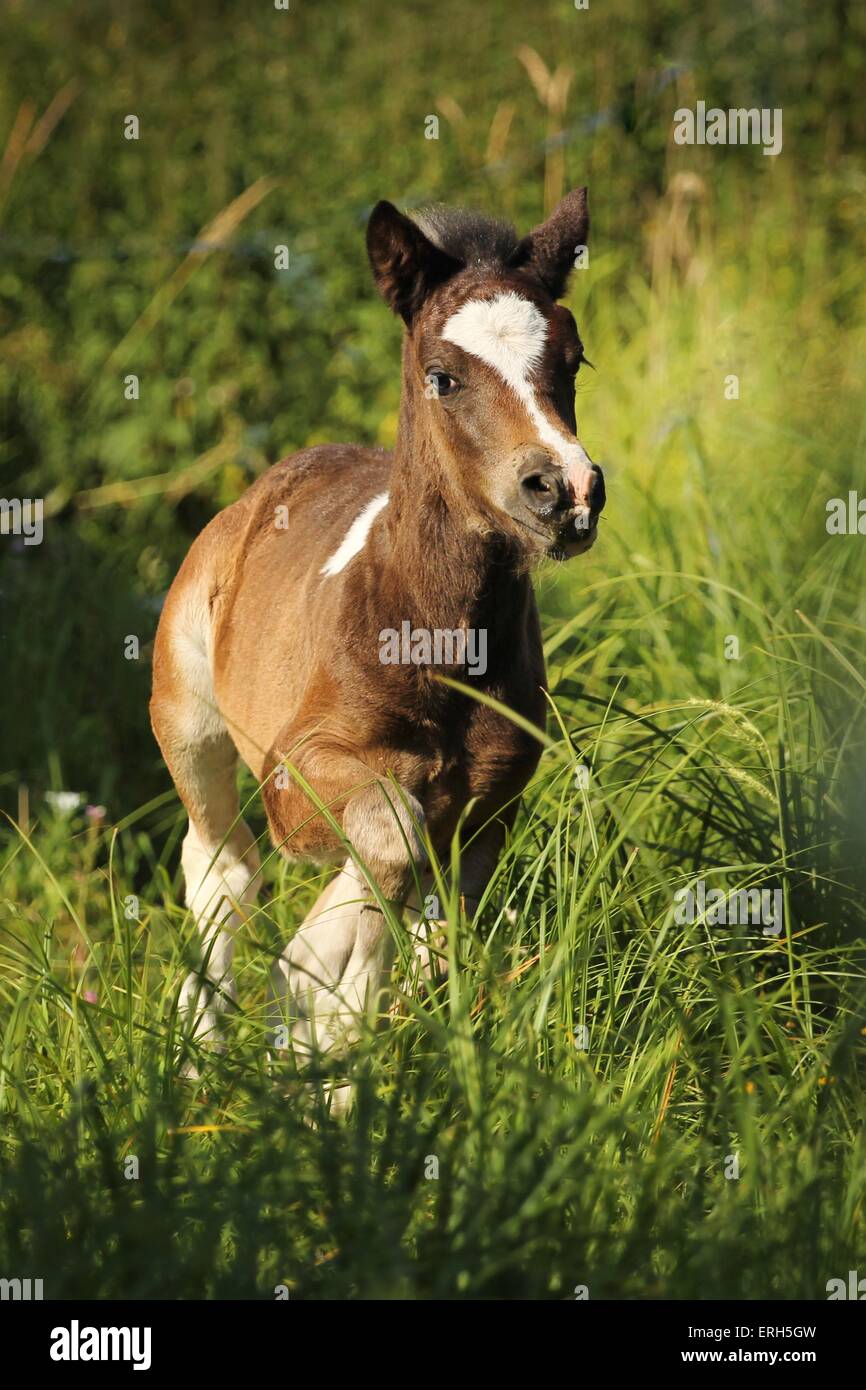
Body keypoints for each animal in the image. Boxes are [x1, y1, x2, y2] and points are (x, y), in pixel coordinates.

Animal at [150, 186, 605, 1076]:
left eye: (572, 364)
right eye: (443, 376)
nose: (565, 491)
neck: (438, 650)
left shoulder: (490, 811)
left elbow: (433, 923)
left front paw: (328, 1017)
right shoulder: (296, 771)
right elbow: (390, 833)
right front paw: (312, 993)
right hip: (188, 722)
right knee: (221, 867)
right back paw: (198, 1052)